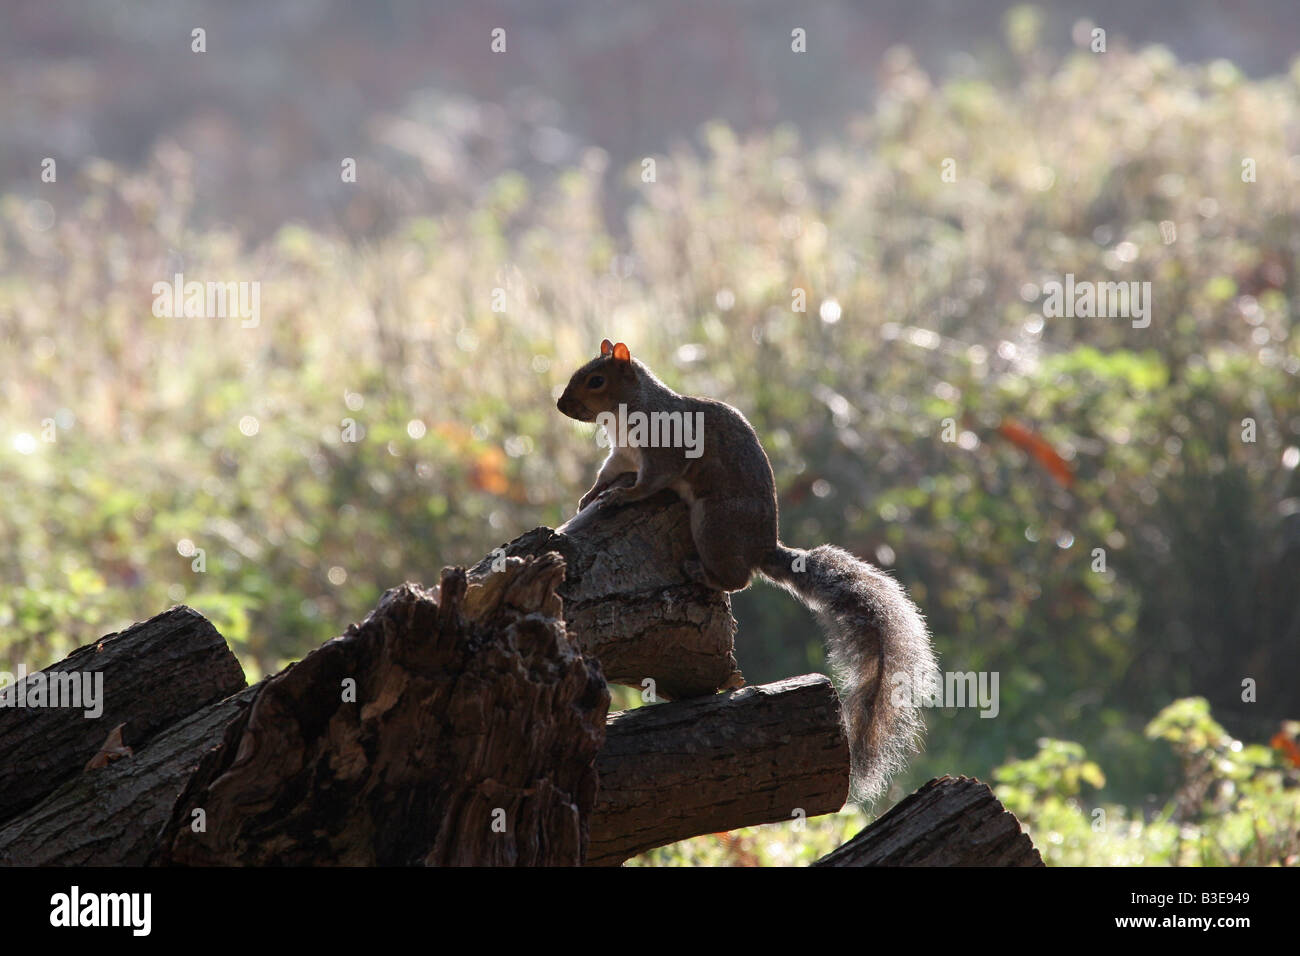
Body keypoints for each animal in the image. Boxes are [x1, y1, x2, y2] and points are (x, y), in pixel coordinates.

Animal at [557, 339, 939, 802]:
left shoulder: (662, 454)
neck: (627, 410)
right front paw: (591, 494)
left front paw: (622, 497)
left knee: (738, 580)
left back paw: (700, 572)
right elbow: (608, 472)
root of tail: (762, 548)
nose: (561, 405)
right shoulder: (621, 454)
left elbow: (648, 484)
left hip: (714, 524)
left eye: (596, 380)